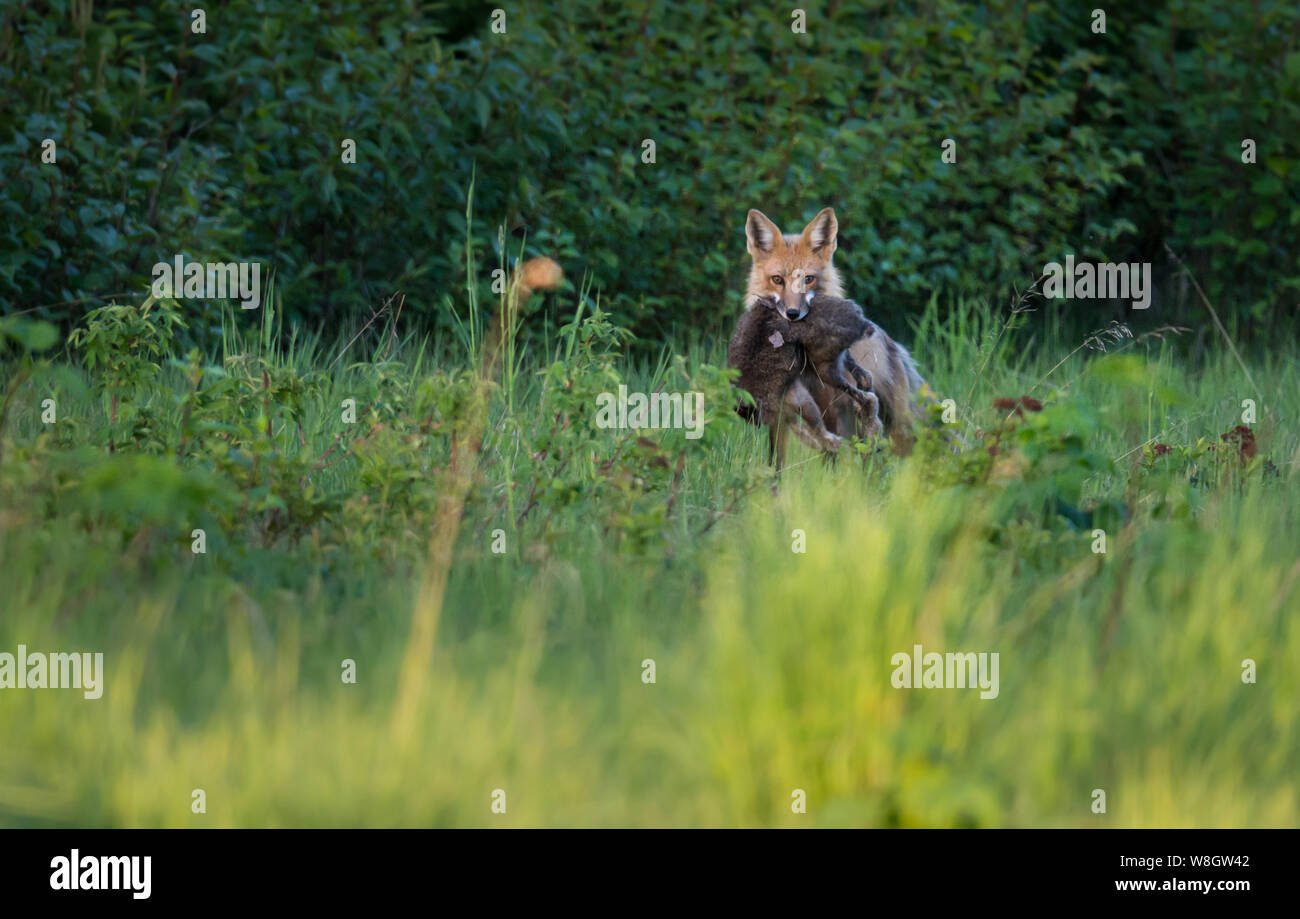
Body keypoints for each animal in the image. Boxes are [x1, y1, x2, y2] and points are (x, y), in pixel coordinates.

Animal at [743, 206, 927, 459]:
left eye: (808, 279)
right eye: (777, 279)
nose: (792, 314)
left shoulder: (831, 407)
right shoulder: (782, 412)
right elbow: (777, 462)